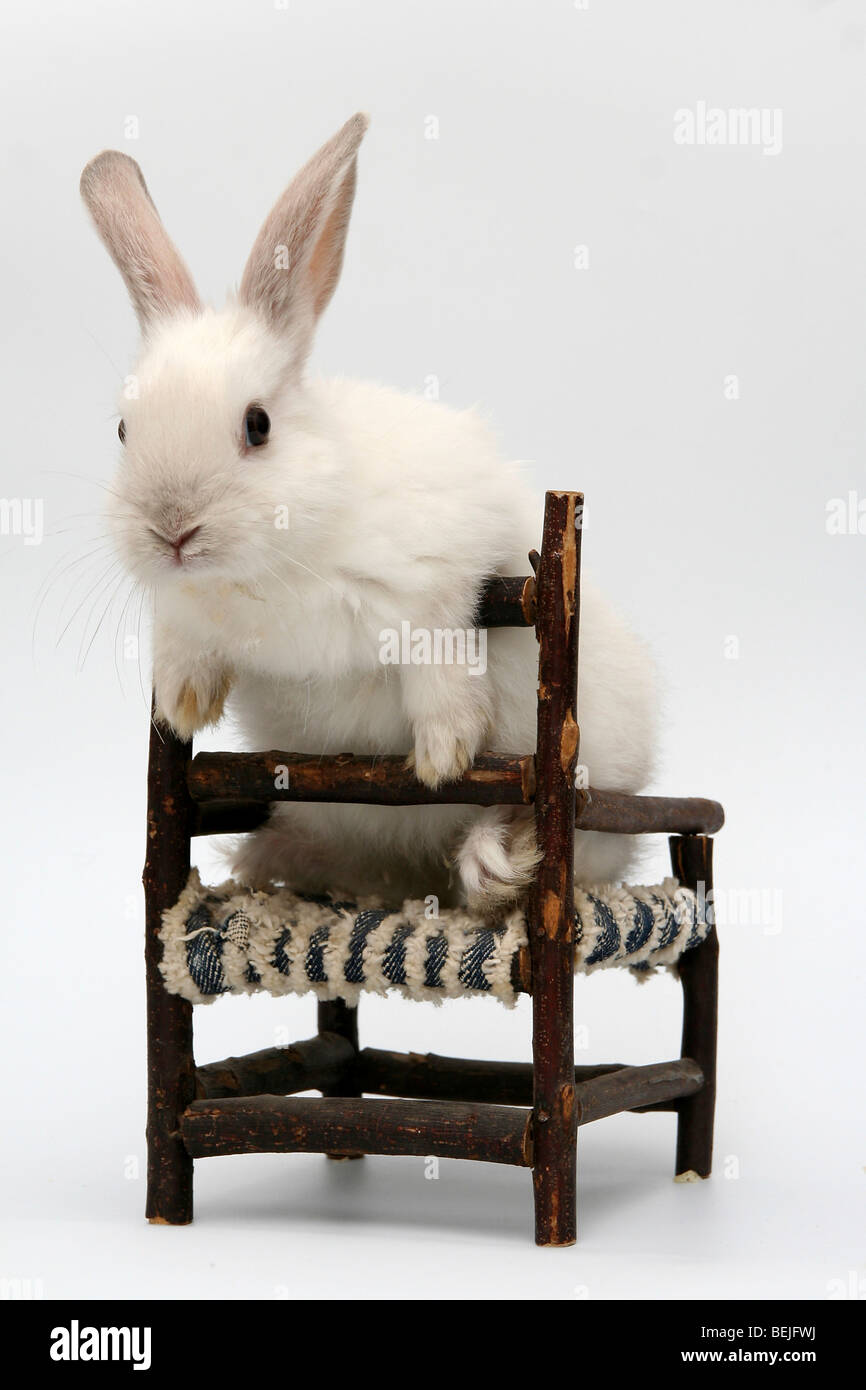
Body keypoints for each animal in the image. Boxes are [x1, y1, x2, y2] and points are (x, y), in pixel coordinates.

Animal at [80, 113, 658, 910]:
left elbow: (437, 656)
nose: (172, 531)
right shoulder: (186, 615)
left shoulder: (445, 576)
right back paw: (271, 862)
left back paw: (496, 858)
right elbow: (184, 648)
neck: (271, 567)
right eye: (121, 431)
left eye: (257, 425)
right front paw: (183, 702)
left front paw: (446, 753)